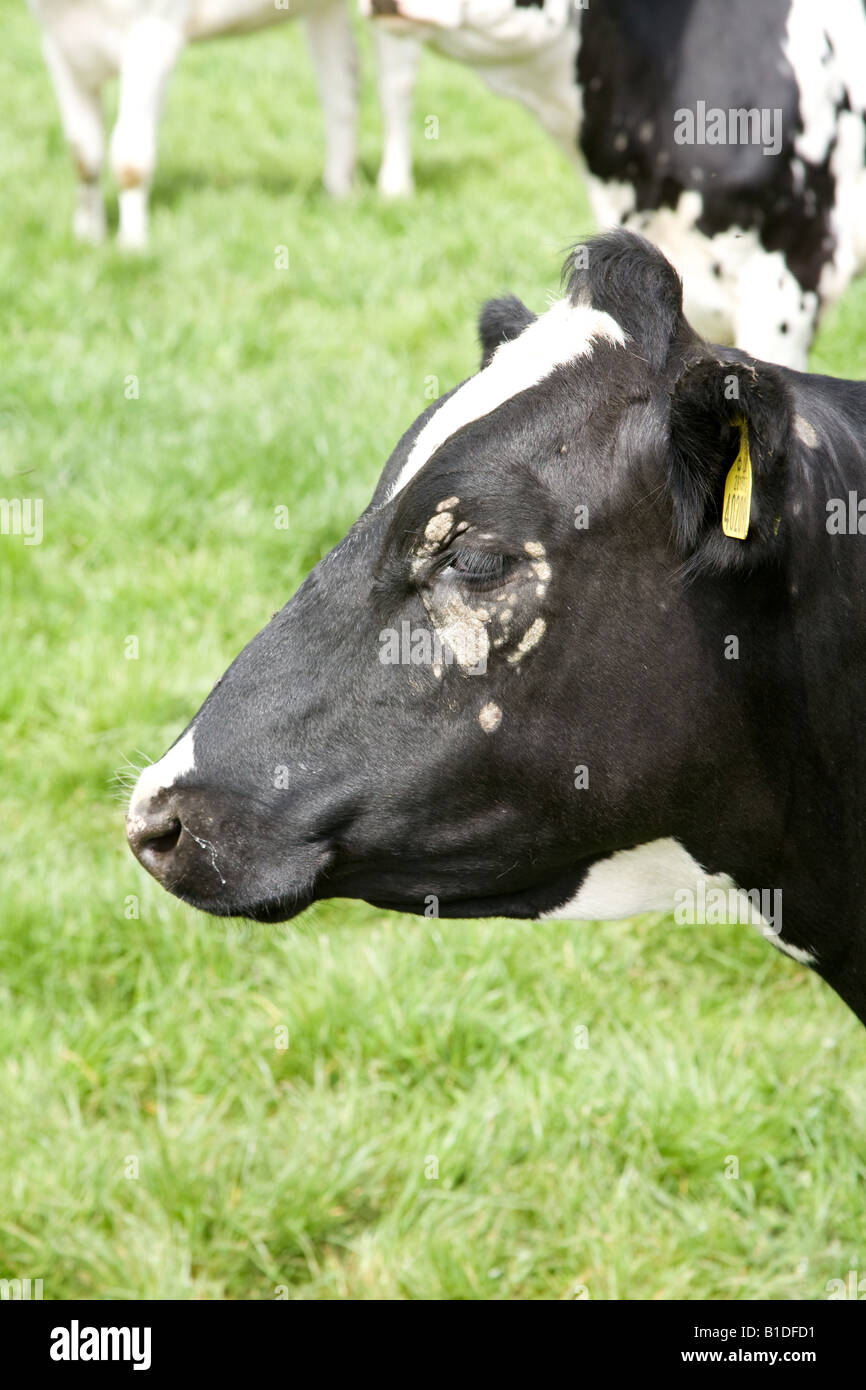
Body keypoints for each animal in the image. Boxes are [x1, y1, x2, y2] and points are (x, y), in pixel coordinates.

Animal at [27, 0, 421, 247]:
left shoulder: (154, 37)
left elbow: (129, 160)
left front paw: (132, 245)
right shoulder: (57, 46)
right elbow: (83, 154)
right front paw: (87, 237)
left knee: (395, 83)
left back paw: (394, 188)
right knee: (341, 80)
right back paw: (339, 191)